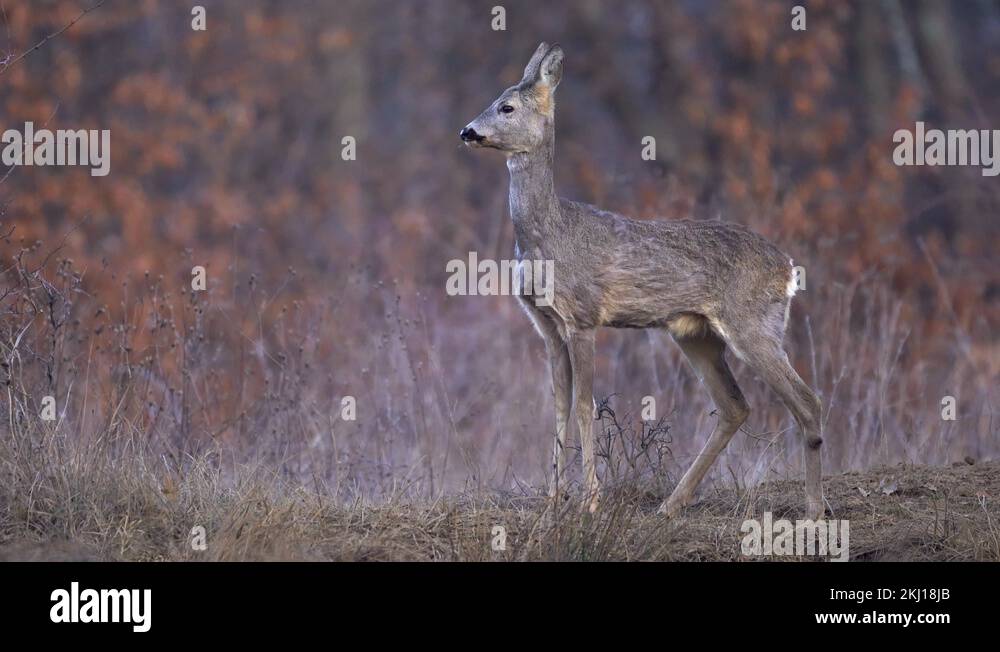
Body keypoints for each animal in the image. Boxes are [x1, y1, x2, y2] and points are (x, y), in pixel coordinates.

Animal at [459, 42, 825, 520]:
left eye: (507, 106)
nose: (467, 131)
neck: (545, 237)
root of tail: (787, 267)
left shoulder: (583, 316)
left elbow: (585, 405)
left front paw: (590, 502)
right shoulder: (546, 325)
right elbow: (558, 403)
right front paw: (553, 500)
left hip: (753, 323)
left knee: (806, 401)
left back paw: (815, 509)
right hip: (695, 333)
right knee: (734, 405)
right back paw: (671, 504)